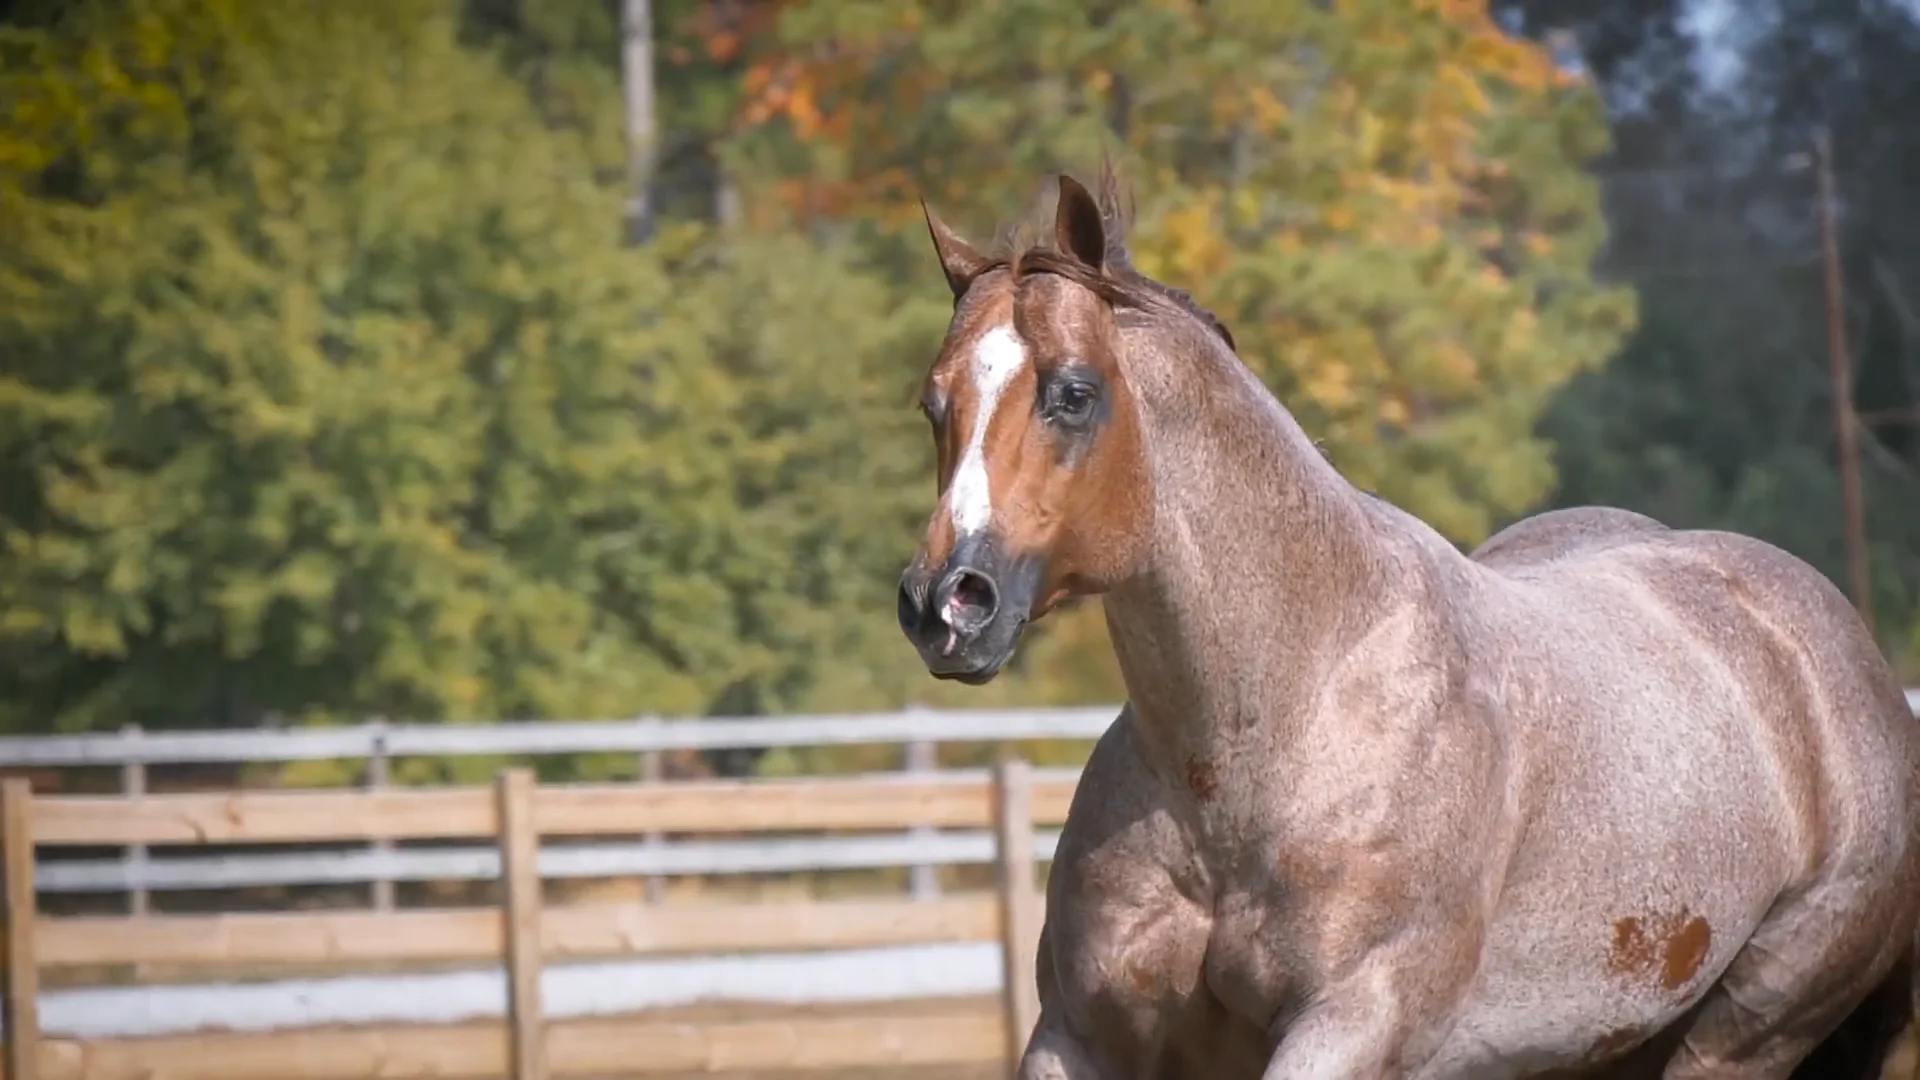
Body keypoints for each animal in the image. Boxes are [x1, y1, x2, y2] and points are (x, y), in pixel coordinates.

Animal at [891, 165, 1920, 1078]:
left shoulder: (1351, 1024)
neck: (1263, 743)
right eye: (935, 402)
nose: (946, 604)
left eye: (1073, 392)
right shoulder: (1081, 1035)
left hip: (1749, 1027)